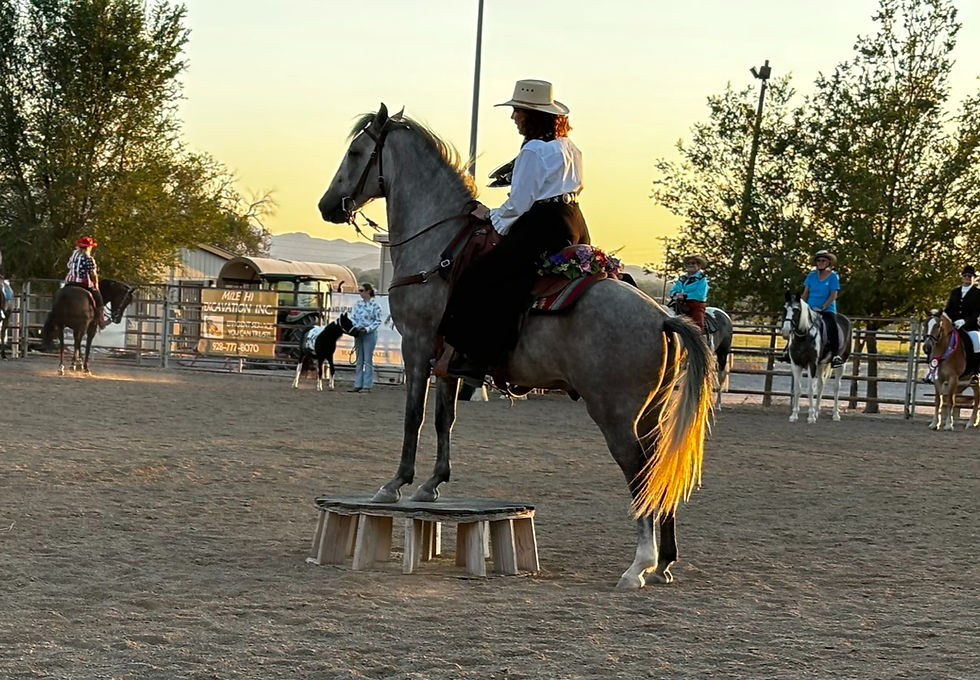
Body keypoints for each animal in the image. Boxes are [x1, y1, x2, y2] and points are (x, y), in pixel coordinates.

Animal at [317, 105, 714, 589]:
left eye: (356, 152)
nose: (326, 206)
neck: (440, 249)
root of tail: (662, 316)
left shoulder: (416, 346)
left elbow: (414, 417)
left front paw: (394, 485)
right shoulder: (449, 362)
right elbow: (444, 420)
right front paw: (431, 485)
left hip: (616, 413)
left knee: (638, 470)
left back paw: (639, 564)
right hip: (653, 412)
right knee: (658, 468)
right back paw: (665, 561)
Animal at [781, 292, 852, 423]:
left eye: (796, 310)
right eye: (785, 309)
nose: (786, 331)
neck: (804, 337)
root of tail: (846, 319)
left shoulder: (812, 364)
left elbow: (810, 390)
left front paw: (810, 417)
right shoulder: (796, 364)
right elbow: (797, 389)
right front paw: (794, 415)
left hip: (842, 363)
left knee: (836, 388)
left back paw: (835, 415)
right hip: (821, 364)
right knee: (820, 385)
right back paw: (817, 411)